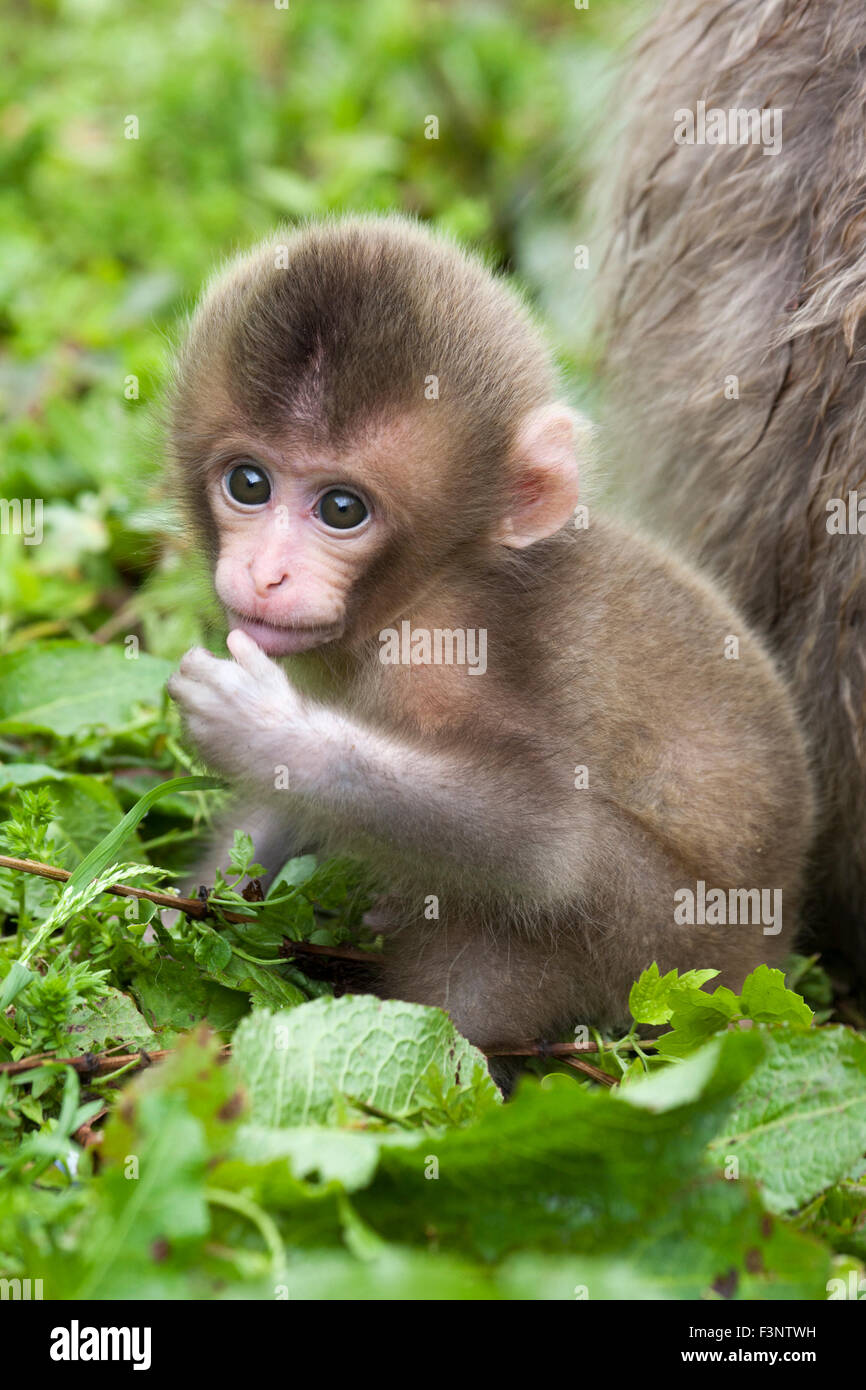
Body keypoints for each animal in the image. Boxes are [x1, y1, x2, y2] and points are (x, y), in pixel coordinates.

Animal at [165, 214, 813, 1081]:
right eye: (248, 484)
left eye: (342, 508)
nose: (267, 574)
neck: (436, 579)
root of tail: (772, 953)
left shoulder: (444, 650)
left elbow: (544, 840)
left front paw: (268, 731)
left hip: (679, 953)